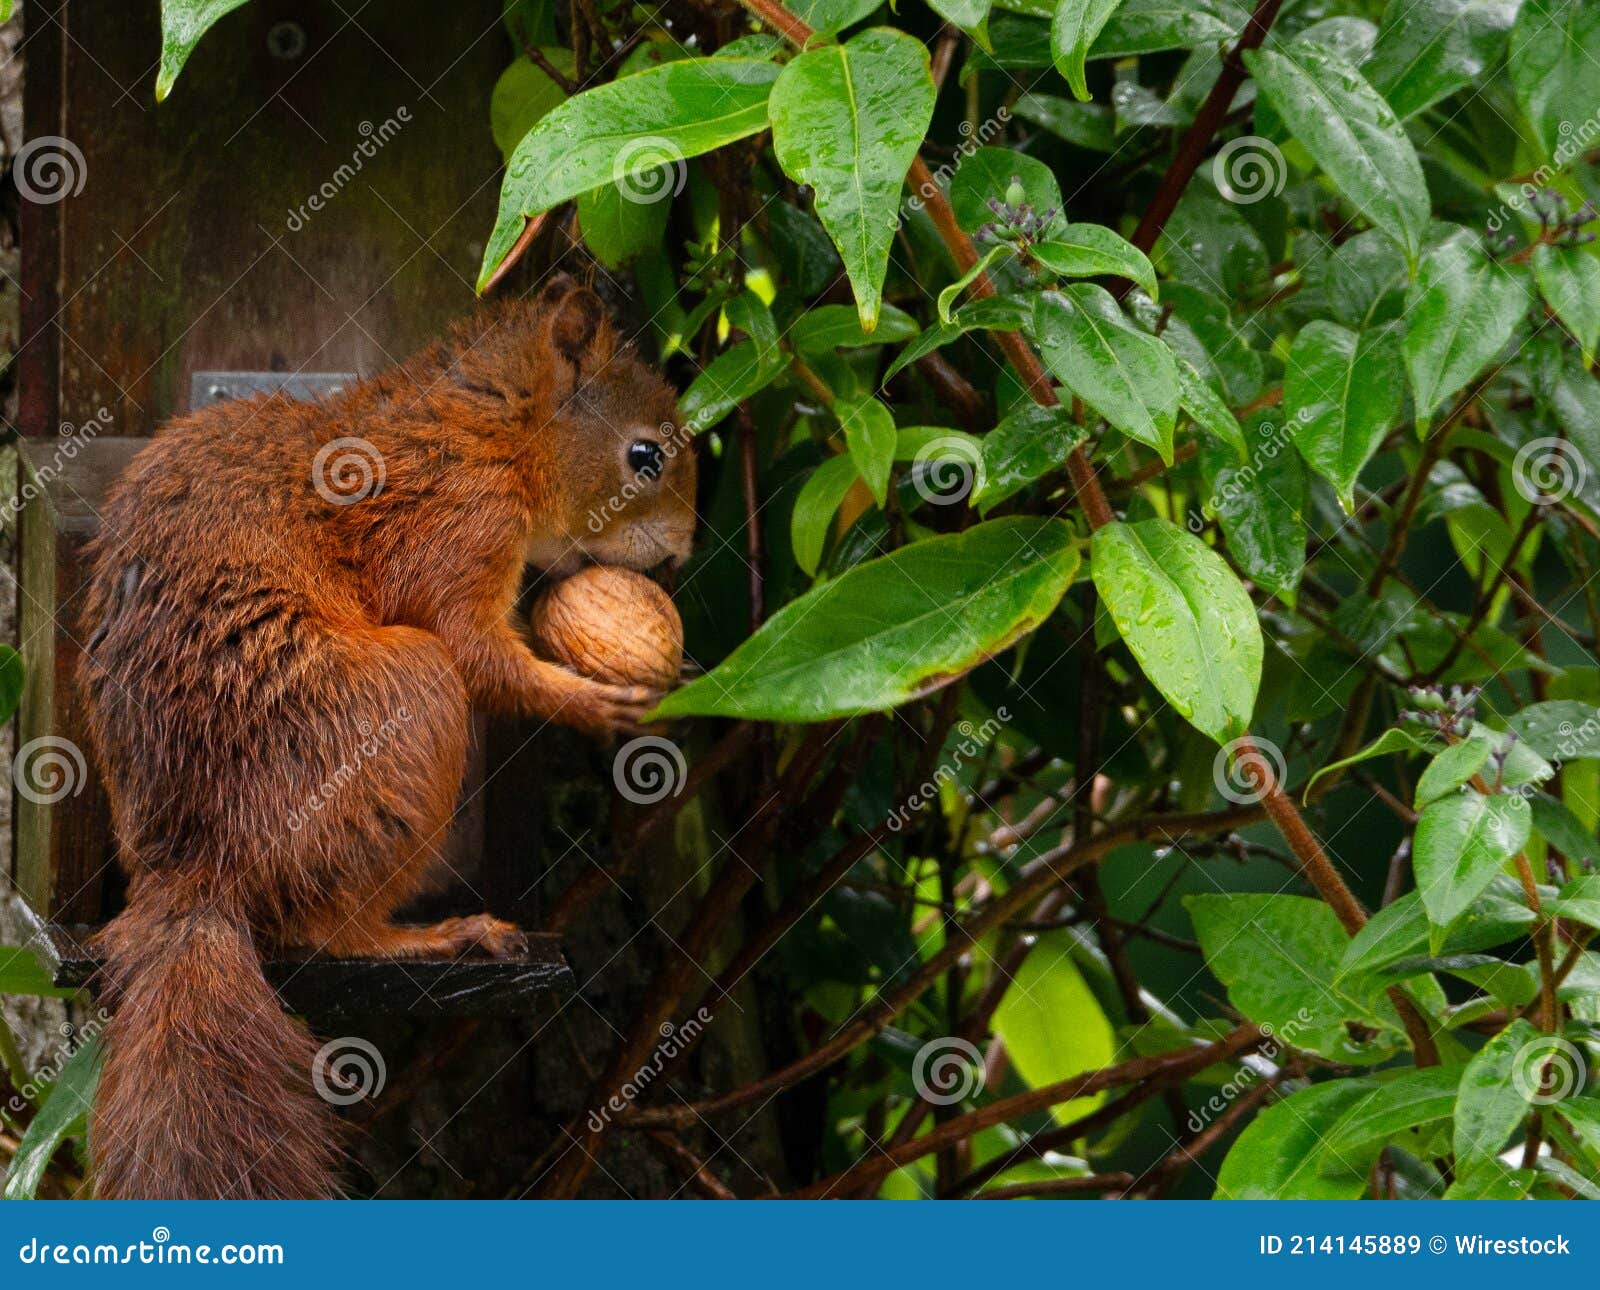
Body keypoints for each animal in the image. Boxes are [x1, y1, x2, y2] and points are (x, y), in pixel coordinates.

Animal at [75, 275, 696, 1199]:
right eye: (644, 456)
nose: (684, 555)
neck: (492, 432)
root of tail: (199, 872)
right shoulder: (453, 525)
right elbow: (474, 651)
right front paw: (599, 701)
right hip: (404, 705)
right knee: (330, 931)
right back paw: (433, 936)